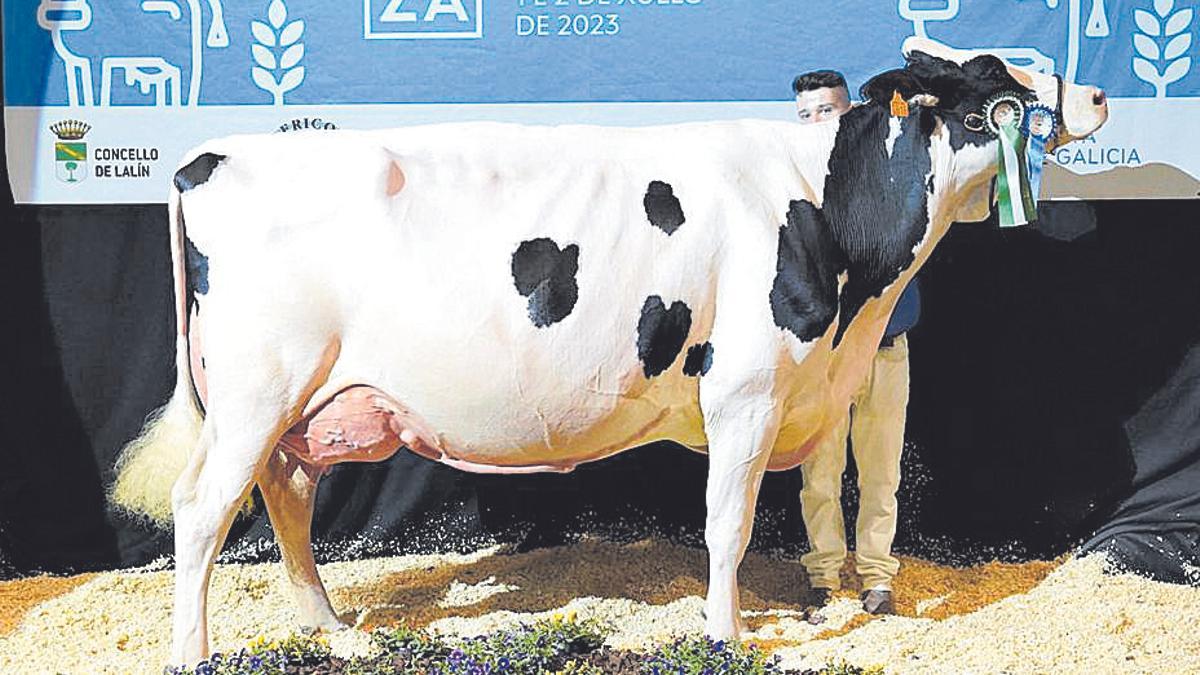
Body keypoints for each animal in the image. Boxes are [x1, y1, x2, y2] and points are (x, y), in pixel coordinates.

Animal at [110, 37, 1108, 666]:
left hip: (306, 405)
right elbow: (728, 523)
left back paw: (328, 629)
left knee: (286, 495)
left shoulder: (817, 383)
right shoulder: (745, 389)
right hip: (255, 390)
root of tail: (206, 158)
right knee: (204, 507)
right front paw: (725, 633)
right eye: (1000, 82)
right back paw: (194, 653)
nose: (1097, 95)